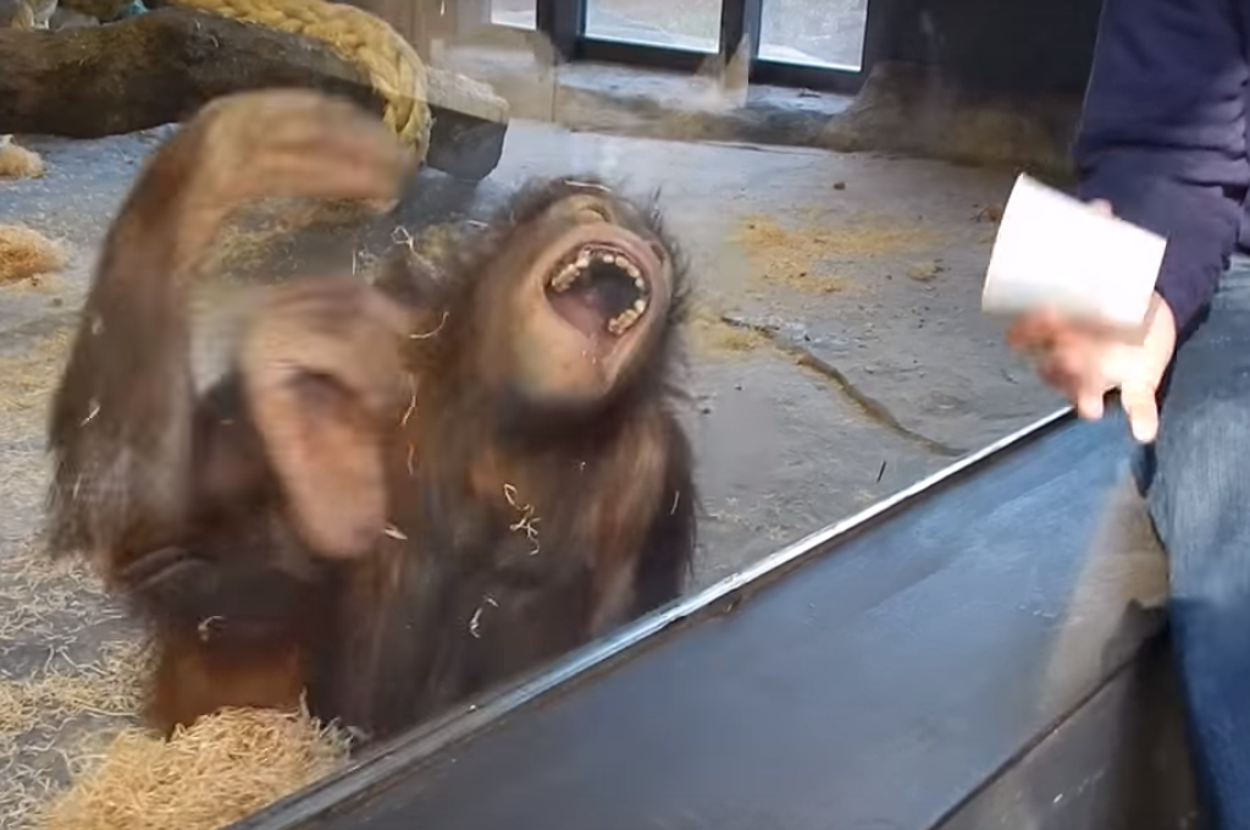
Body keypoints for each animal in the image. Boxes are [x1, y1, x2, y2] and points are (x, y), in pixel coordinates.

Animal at [44, 88, 698, 745]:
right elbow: (157, 540)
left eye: (658, 253)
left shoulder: (652, 467)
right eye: (592, 210)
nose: (633, 239)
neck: (513, 419)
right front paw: (233, 151)